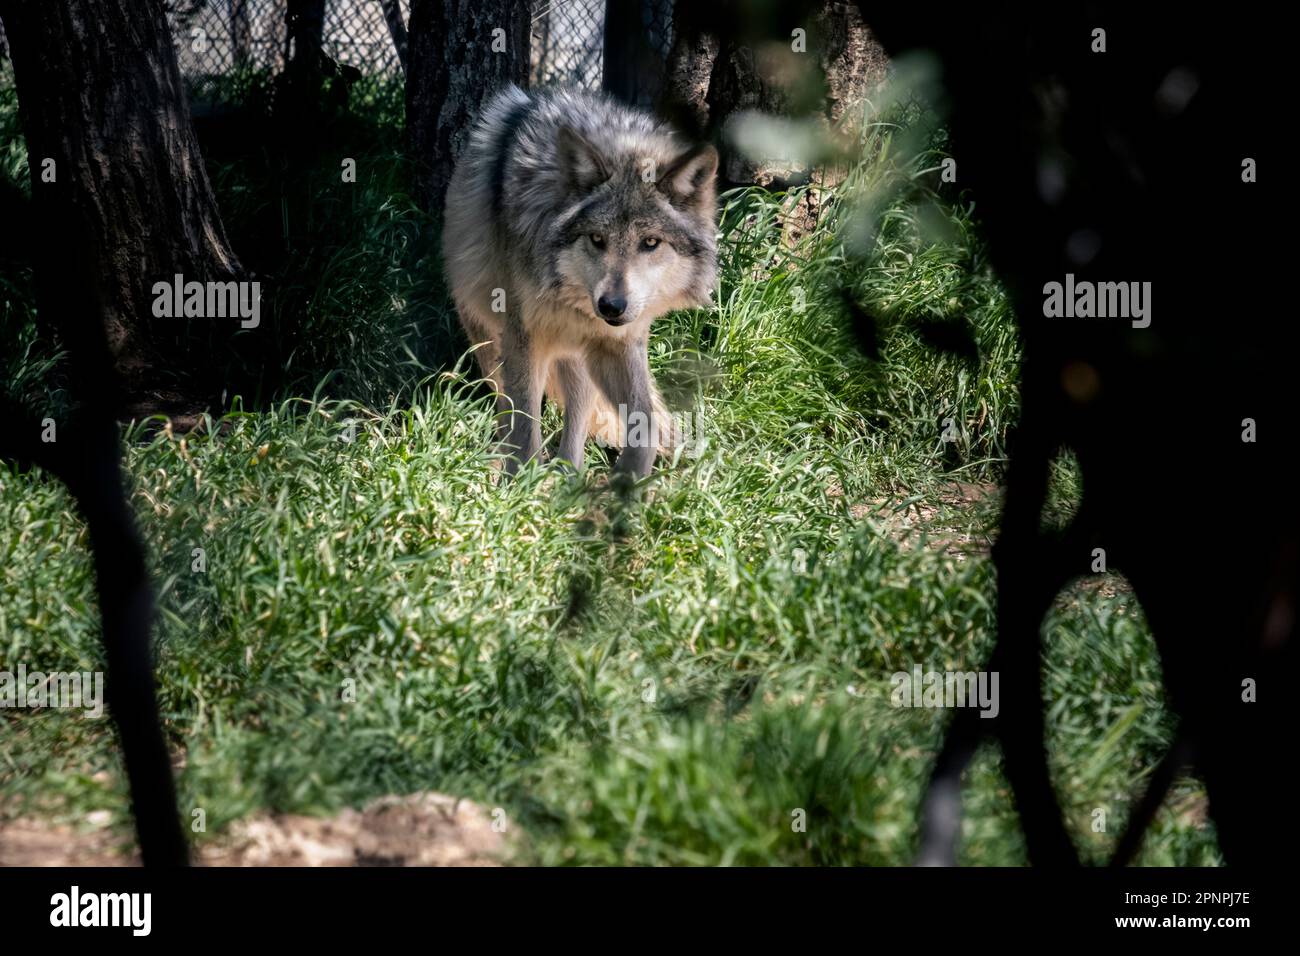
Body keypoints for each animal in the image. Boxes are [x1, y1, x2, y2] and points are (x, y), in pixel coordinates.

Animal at [442, 85, 719, 477]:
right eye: (597, 239)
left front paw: (628, 483)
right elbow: (524, 426)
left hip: (580, 357)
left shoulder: (619, 342)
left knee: (577, 415)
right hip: (488, 335)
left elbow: (646, 422)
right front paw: (522, 484)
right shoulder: (523, 337)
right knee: (504, 404)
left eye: (650, 242)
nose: (611, 306)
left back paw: (569, 475)